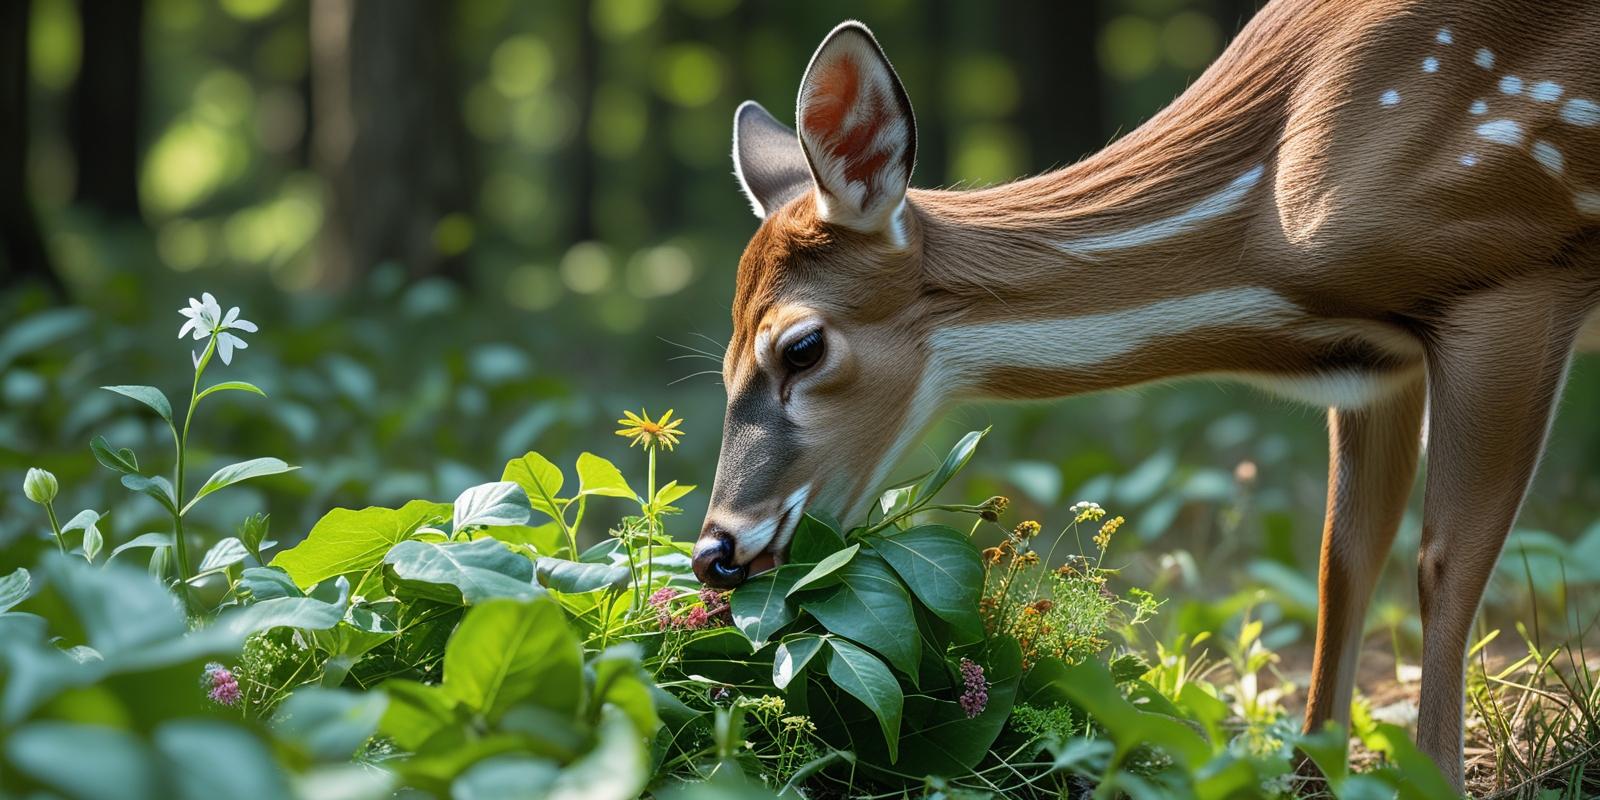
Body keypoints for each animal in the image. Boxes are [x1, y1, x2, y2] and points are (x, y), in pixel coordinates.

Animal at [688, 1, 1600, 790]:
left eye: (802, 348)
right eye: (721, 362)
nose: (715, 552)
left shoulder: (1515, 275)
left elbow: (1444, 562)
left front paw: (1438, 778)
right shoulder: (1382, 368)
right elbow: (1343, 561)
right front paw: (1311, 776)